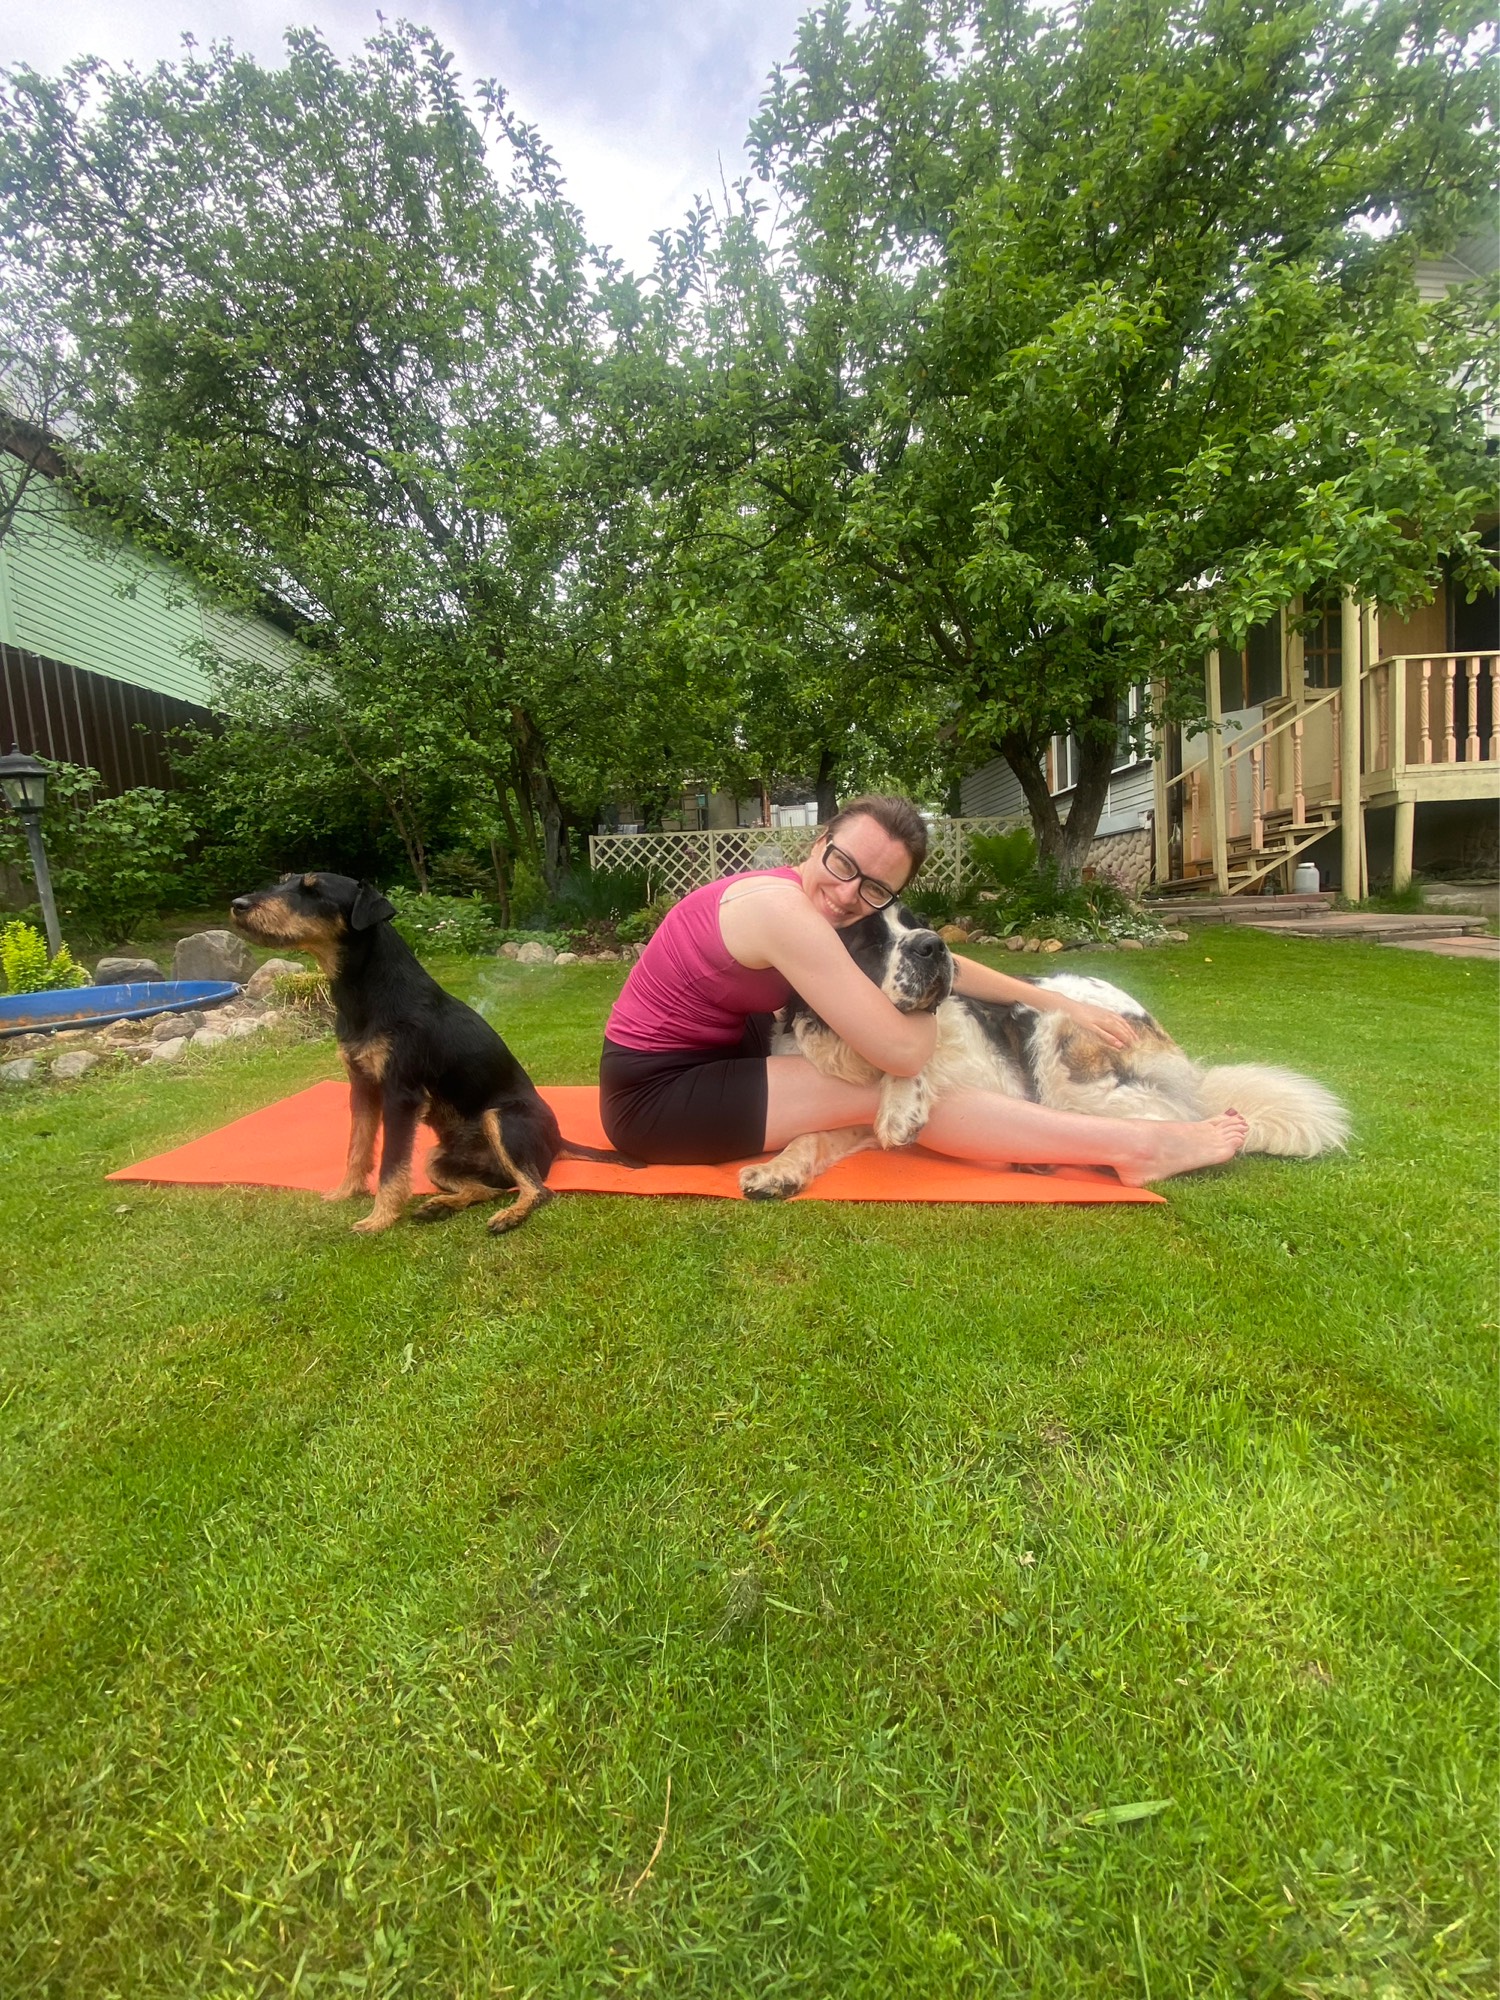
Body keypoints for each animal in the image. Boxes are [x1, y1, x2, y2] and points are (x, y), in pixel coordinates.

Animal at [228, 872, 624, 1232]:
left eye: (313, 891)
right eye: (283, 881)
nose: (238, 905)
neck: (367, 994)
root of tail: (558, 1141)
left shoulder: (401, 1096)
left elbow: (390, 1164)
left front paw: (379, 1219)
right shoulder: (362, 1088)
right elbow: (357, 1148)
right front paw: (345, 1192)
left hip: (501, 1120)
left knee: (536, 1190)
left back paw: (508, 1217)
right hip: (437, 1159)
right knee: (490, 1189)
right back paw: (441, 1206)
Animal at [740, 912, 1352, 1200]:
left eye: (914, 924)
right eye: (868, 941)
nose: (935, 944)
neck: (852, 1045)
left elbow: (921, 1058)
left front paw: (900, 1103)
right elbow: (813, 1135)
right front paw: (778, 1170)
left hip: (1064, 1054)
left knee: (1165, 1117)